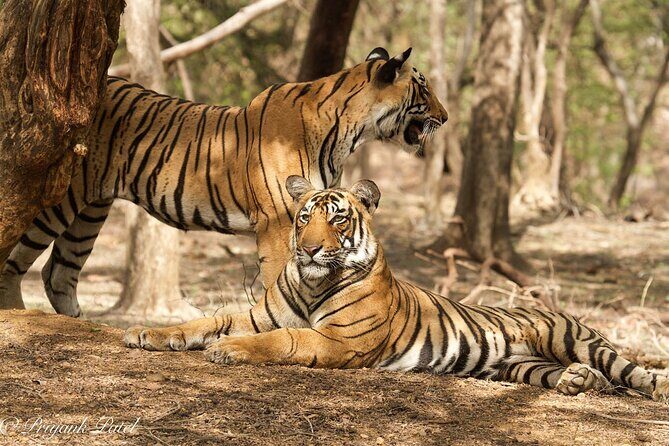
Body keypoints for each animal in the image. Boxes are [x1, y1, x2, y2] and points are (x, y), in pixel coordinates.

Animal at [0, 47, 448, 317]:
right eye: (423, 87)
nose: (444, 118)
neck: (349, 131)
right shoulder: (279, 219)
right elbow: (281, 277)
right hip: (58, 200)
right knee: (15, 259)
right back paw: (17, 314)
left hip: (90, 210)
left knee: (59, 272)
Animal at [125, 176, 669, 402]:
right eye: (303, 217)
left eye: (337, 219)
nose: (308, 250)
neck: (313, 283)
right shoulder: (260, 314)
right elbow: (206, 319)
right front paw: (145, 334)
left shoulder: (339, 340)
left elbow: (285, 340)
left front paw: (228, 350)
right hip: (520, 367)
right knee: (570, 376)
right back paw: (578, 383)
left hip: (570, 337)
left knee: (630, 369)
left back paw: (642, 384)